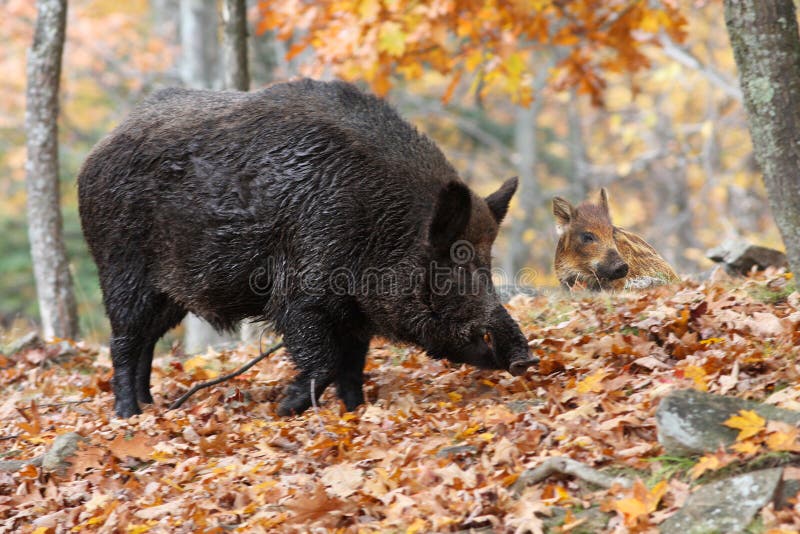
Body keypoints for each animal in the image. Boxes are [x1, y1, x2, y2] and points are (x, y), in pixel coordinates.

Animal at [78, 79, 538, 418]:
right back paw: (128, 415)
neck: (380, 225)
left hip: (168, 294)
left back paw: (150, 406)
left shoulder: (356, 314)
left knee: (145, 343)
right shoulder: (301, 296)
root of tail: (95, 152)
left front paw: (354, 412)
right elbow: (323, 360)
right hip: (120, 268)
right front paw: (287, 408)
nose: (527, 359)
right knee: (123, 343)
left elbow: (353, 367)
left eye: (488, 258)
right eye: (457, 256)